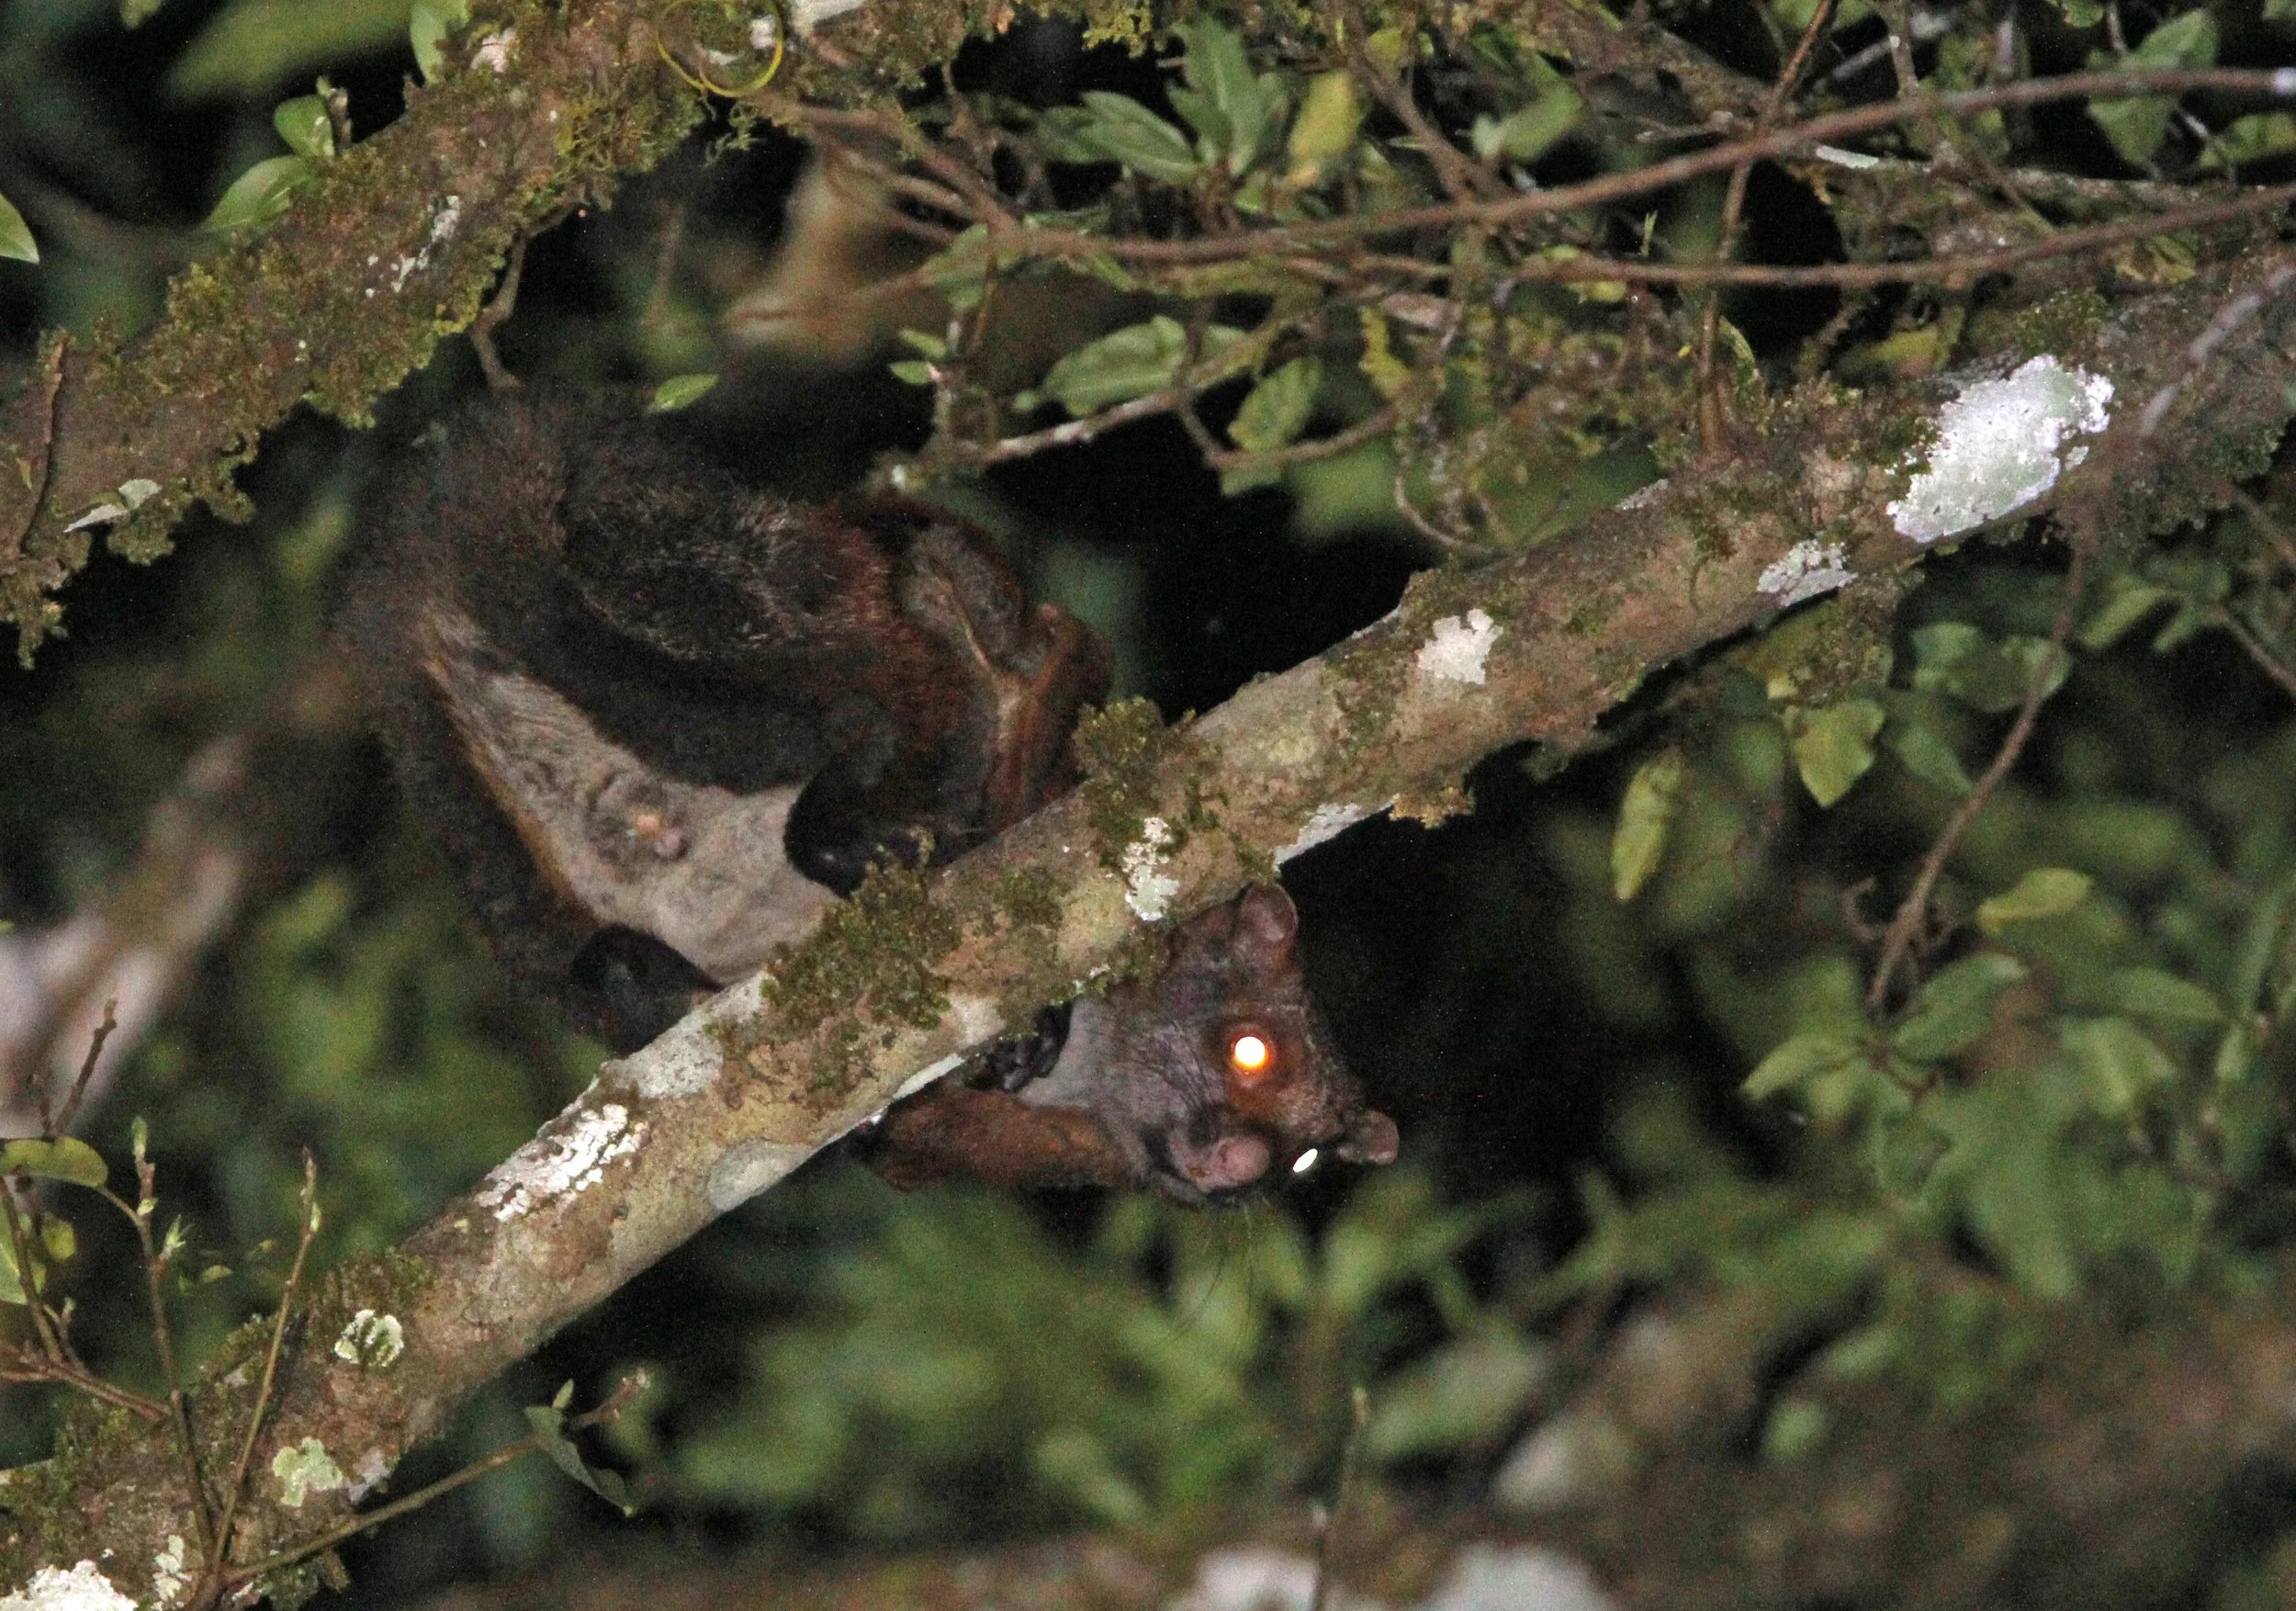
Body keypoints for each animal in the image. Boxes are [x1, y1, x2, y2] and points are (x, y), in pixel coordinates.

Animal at [335, 394, 1398, 1202]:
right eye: (1254, 1053)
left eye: (1305, 1159)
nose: (1243, 1164)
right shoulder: (1062, 718)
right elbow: (1052, 683)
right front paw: (1032, 1001)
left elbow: (887, 1145)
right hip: (800, 602)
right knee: (891, 684)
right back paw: (869, 835)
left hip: (489, 844)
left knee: (586, 959)